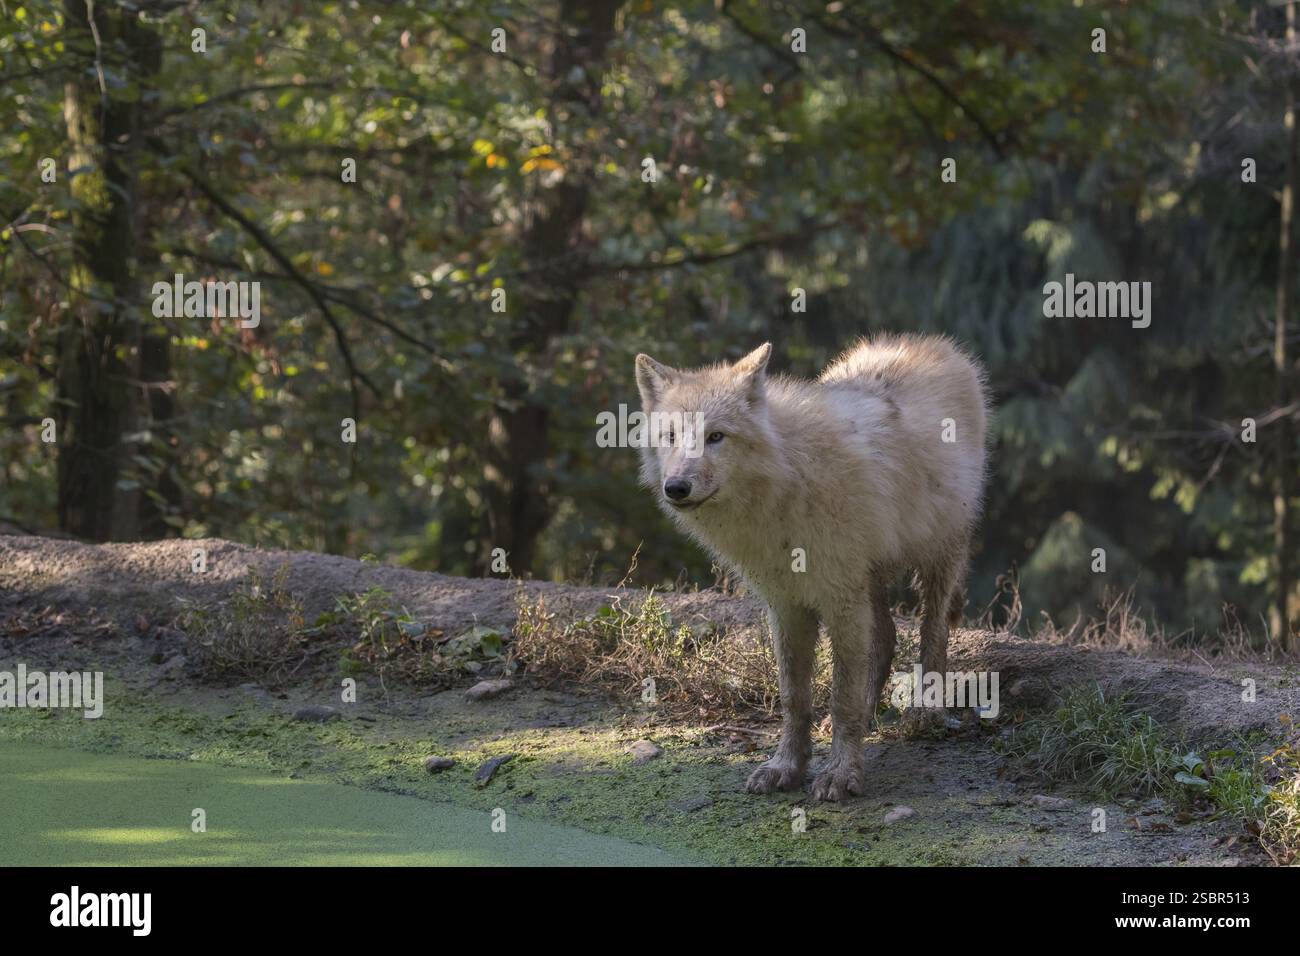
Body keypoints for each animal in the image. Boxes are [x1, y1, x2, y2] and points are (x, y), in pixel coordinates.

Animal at [635, 334, 989, 801]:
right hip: (868, 580)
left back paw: (924, 714)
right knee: (886, 640)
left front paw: (840, 773)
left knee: (934, 633)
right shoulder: (786, 605)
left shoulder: (840, 599)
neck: (789, 479)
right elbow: (794, 697)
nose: (676, 487)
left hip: (936, 558)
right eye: (671, 436)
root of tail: (928, 343)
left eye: (716, 437)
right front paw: (786, 766)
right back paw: (871, 716)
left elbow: (841, 696)